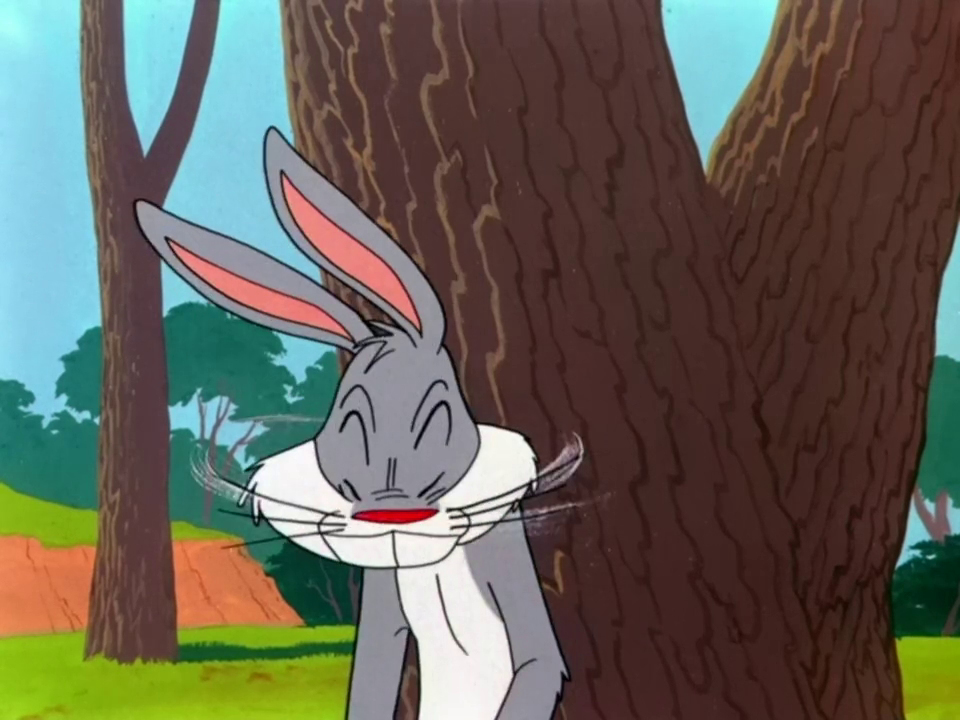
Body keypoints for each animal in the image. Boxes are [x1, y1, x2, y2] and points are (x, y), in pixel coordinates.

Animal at [133, 127, 584, 720]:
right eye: (348, 423)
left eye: (439, 415)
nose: (391, 510)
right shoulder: (387, 588)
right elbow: (374, 660)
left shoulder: (498, 551)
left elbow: (538, 658)